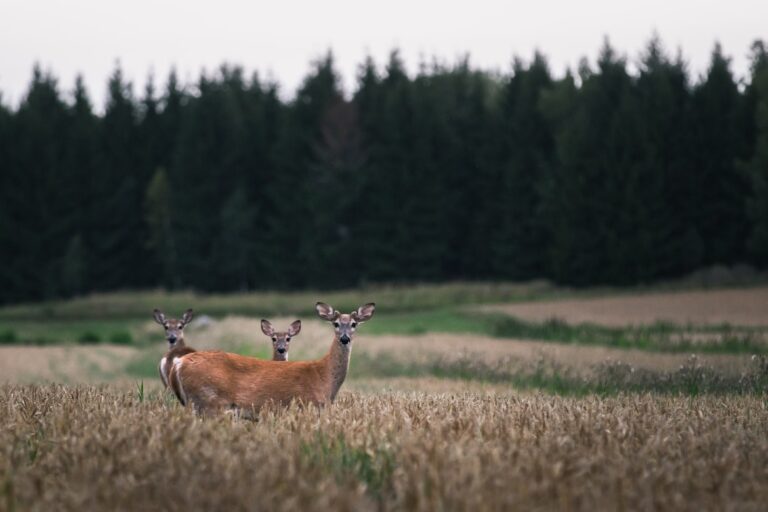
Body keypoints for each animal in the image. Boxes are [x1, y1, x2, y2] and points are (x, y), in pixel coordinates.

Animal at [167, 302, 375, 416]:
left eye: (354, 324)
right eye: (336, 323)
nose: (345, 338)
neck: (324, 376)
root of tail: (178, 364)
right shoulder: (307, 405)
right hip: (209, 402)